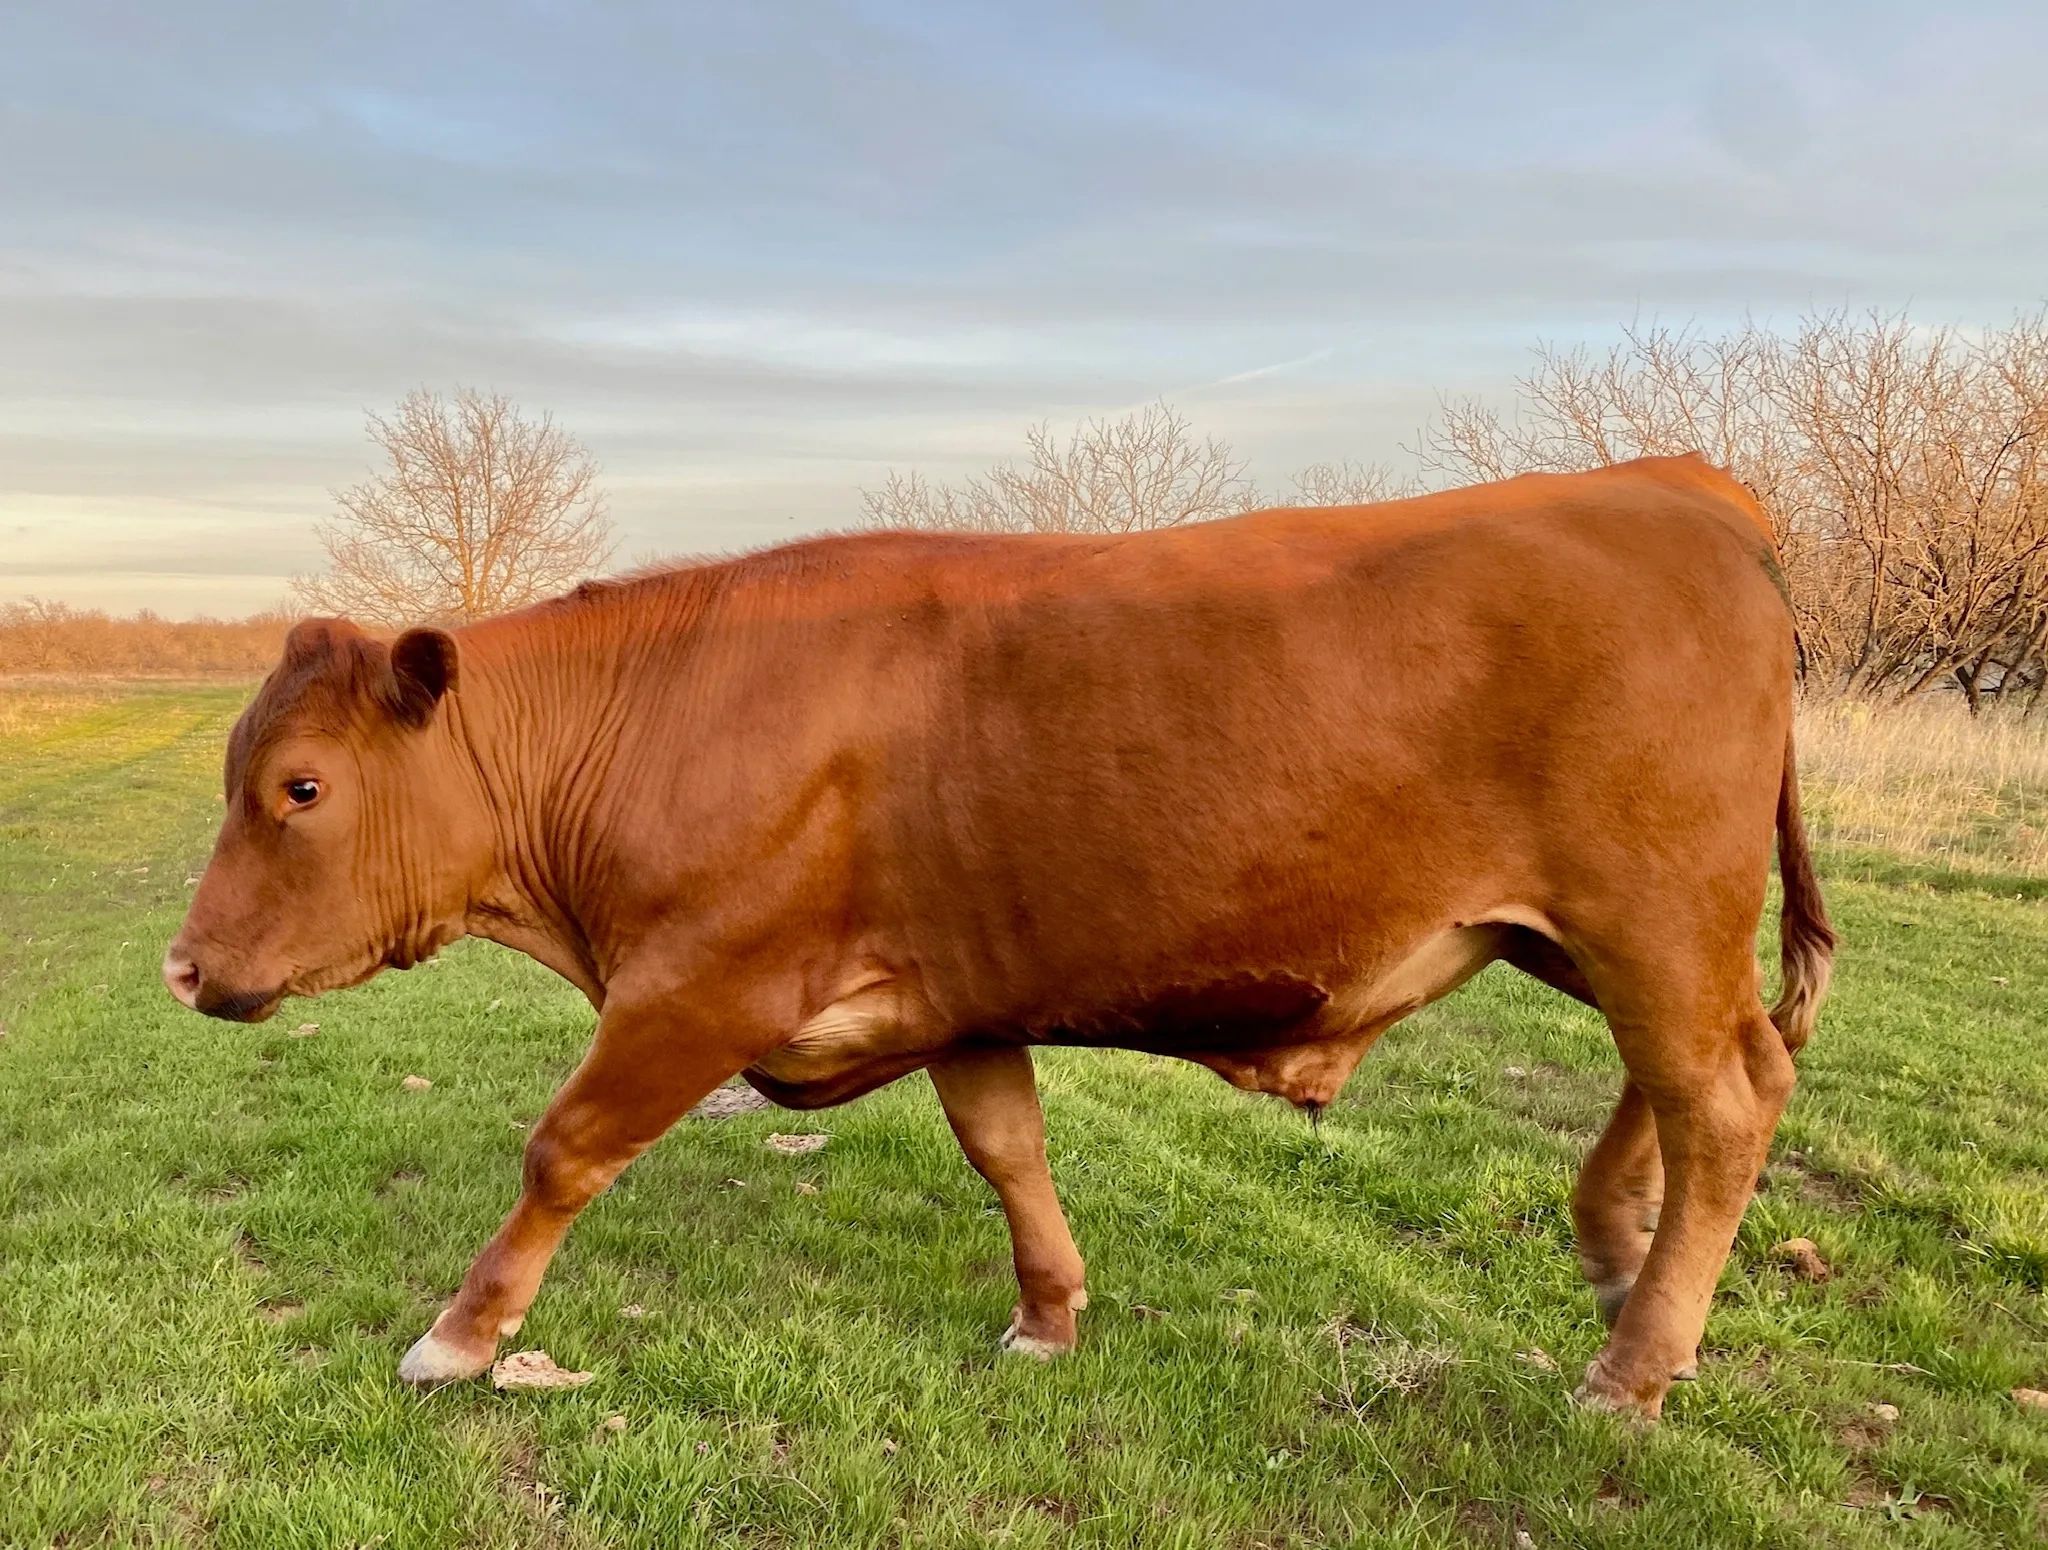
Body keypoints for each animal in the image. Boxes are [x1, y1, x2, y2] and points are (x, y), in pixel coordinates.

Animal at [164, 454, 1833, 1421]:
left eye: (297, 785)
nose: (183, 965)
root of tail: (1680, 484)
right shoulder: (958, 997)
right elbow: (1006, 1146)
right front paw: (1049, 1314)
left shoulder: (699, 986)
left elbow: (563, 1148)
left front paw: (457, 1336)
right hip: (1599, 930)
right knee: (1700, 1074)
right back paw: (1614, 1251)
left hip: (1652, 911)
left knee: (1724, 1090)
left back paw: (1633, 1361)